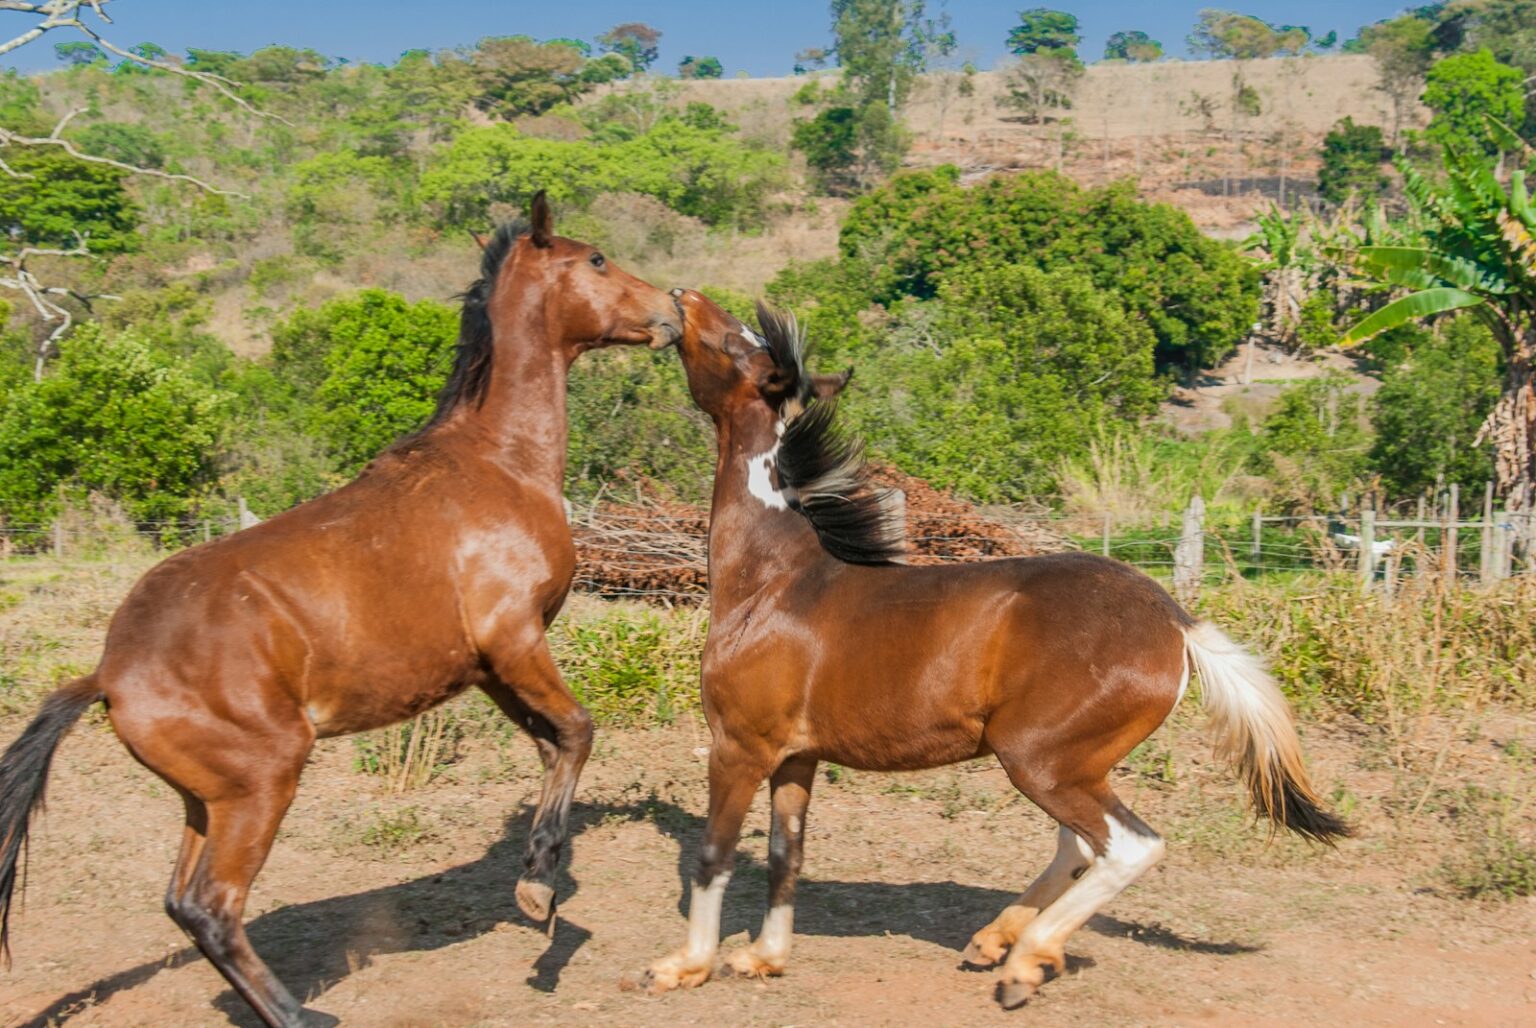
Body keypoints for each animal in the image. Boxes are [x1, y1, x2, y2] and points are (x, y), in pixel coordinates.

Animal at [0, 193, 682, 1028]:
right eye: (596, 261)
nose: (671, 309)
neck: (498, 462)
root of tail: (106, 673)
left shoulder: (489, 668)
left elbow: (554, 743)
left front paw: (538, 877)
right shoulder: (516, 640)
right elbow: (580, 731)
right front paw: (539, 887)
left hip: (204, 800)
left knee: (181, 903)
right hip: (262, 785)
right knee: (213, 905)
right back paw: (300, 1015)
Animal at [644, 289, 1349, 1010]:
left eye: (737, 341)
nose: (681, 299)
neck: (773, 581)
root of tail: (1178, 623)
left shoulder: (740, 747)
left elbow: (714, 857)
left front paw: (684, 966)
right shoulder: (797, 759)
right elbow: (787, 855)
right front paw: (763, 958)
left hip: (1038, 759)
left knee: (1127, 846)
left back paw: (1024, 963)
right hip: (1074, 762)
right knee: (1081, 845)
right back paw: (997, 941)